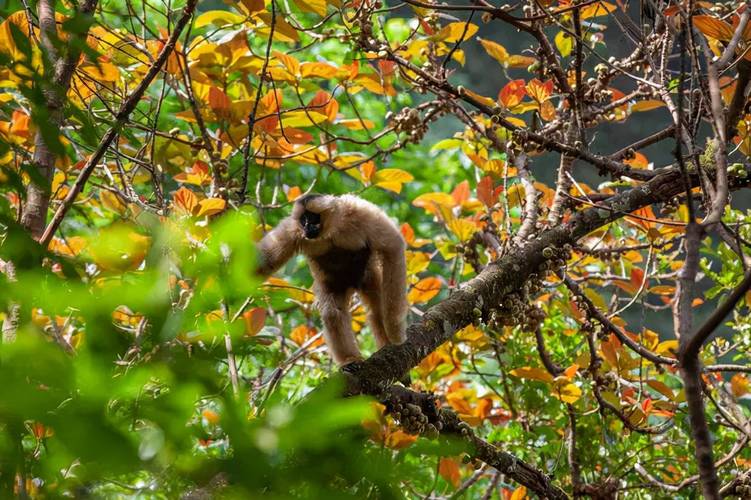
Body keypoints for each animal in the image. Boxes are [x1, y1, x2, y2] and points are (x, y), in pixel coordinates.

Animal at [257, 194, 409, 368]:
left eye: (312, 218)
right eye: (303, 220)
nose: (307, 226)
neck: (330, 232)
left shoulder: (360, 212)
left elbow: (392, 246)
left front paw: (395, 333)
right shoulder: (291, 230)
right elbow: (265, 262)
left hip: (368, 275)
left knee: (376, 309)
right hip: (336, 284)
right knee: (332, 313)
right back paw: (350, 358)